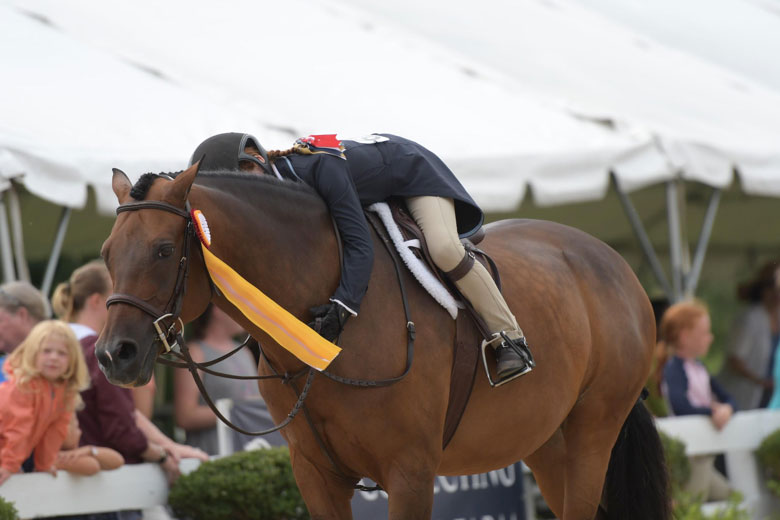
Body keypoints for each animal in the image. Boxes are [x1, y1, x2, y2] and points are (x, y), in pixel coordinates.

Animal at [96, 161, 670, 520]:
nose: (112, 355)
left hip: (592, 434)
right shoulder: (317, 476)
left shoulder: (410, 472)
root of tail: (609, 260)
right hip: (548, 444)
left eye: (164, 250)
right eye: (106, 253)